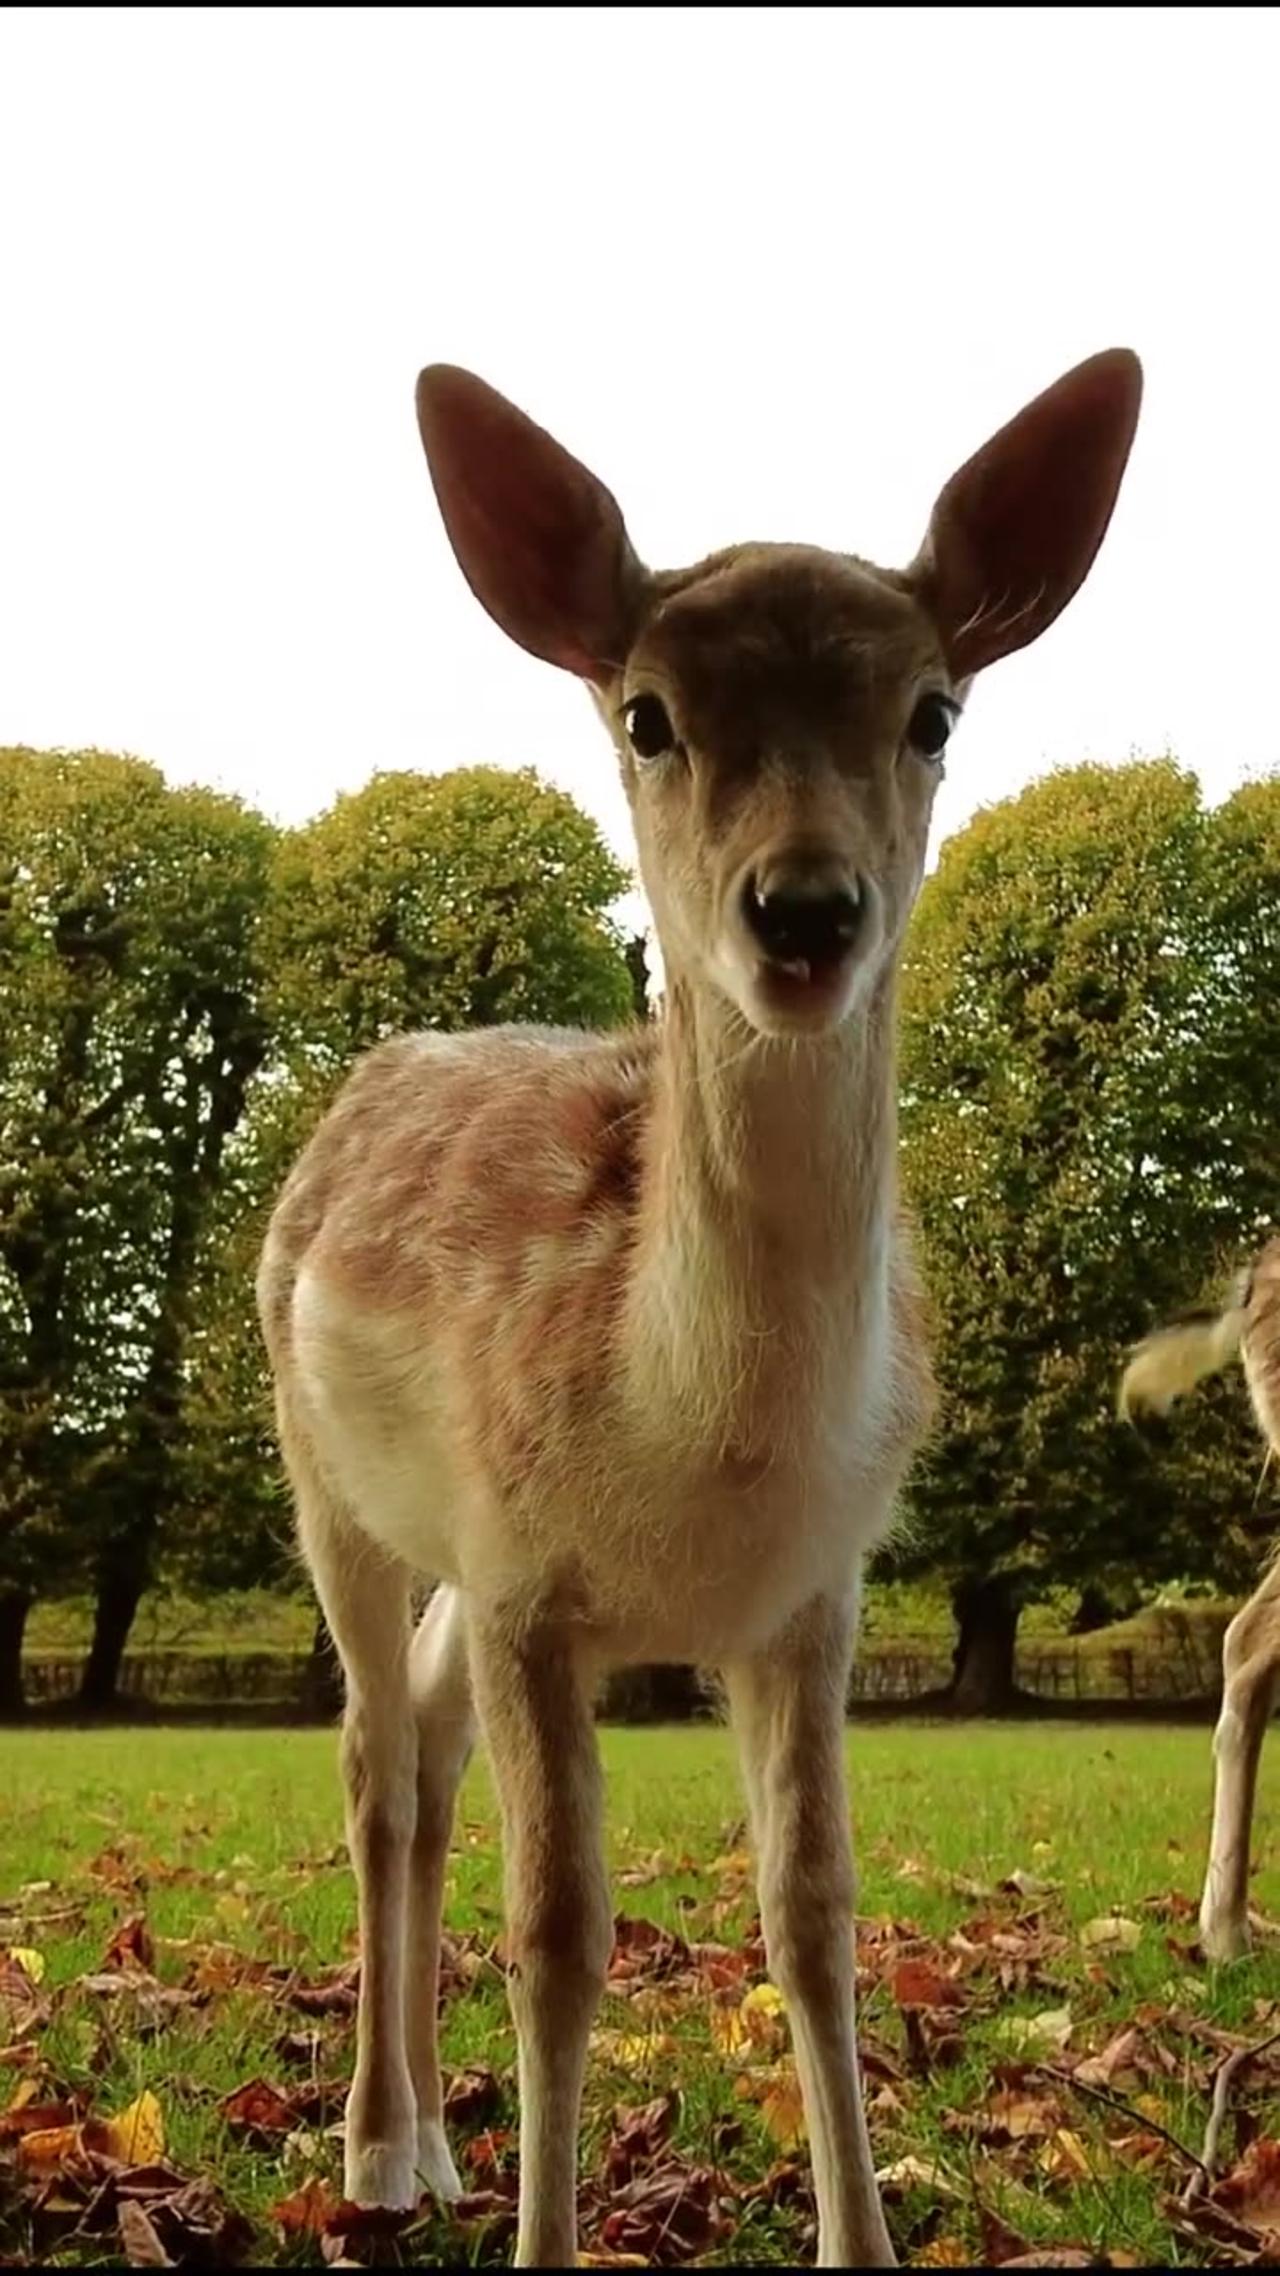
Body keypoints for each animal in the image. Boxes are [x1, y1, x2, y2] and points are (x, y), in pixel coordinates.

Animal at [256, 346, 1142, 2267]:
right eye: (649, 715)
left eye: (935, 711)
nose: (804, 911)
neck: (704, 1449)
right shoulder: (527, 1576)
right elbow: (561, 1938)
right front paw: (544, 2236)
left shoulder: (809, 1596)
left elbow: (812, 1910)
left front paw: (861, 2239)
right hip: (319, 1469)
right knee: (372, 1762)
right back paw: (379, 2151)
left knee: (426, 1748)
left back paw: (435, 2146)